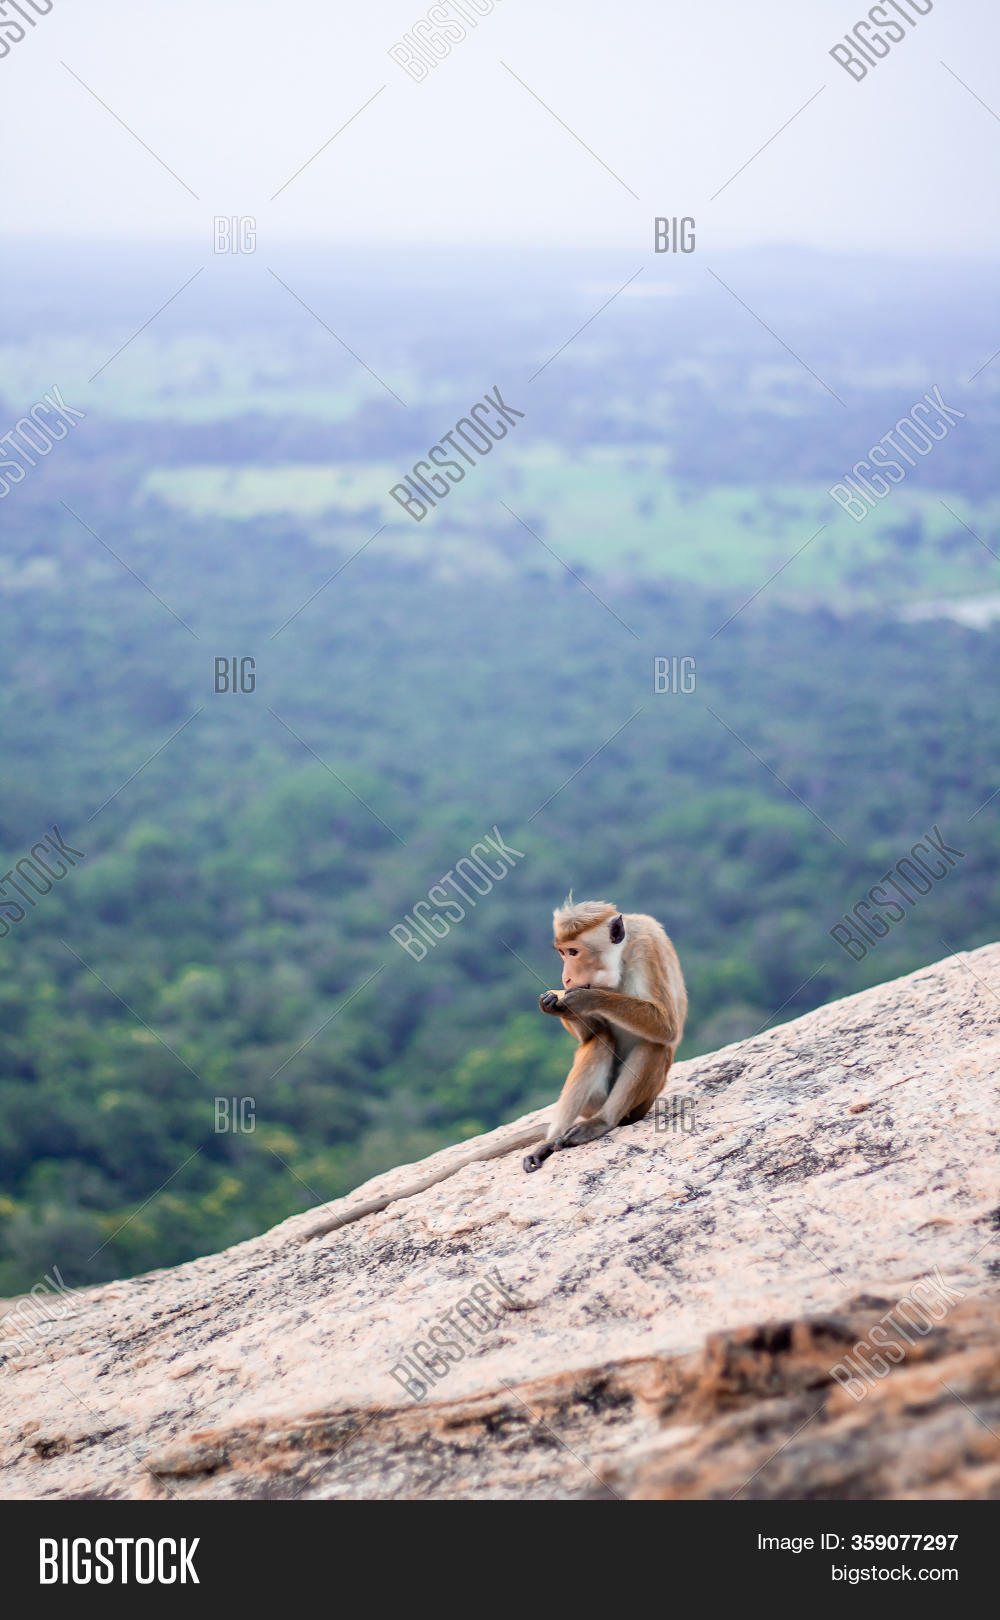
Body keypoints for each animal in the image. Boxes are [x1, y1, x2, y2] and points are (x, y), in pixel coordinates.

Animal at [521, 899, 686, 1173]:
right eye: (562, 952)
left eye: (574, 952)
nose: (566, 978)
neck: (620, 956)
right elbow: (592, 1035)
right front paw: (554, 1004)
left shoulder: (647, 948)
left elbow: (667, 1027)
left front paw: (587, 999)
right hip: (594, 1101)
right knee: (600, 1041)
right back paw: (551, 1141)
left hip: (642, 1103)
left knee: (654, 1044)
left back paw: (603, 1122)